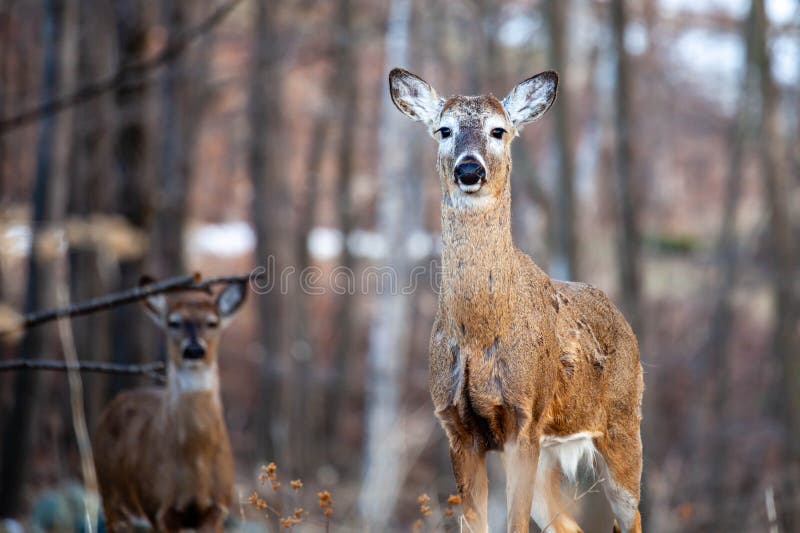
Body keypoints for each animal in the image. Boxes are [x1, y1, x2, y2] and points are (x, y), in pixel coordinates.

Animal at [92, 278, 247, 532]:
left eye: (212, 322)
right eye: (174, 322)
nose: (193, 350)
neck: (196, 461)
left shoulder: (218, 508)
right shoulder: (158, 507)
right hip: (112, 498)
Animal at [389, 68, 644, 533]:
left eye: (499, 130)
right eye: (443, 129)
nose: (469, 169)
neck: (481, 331)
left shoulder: (524, 421)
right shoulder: (457, 427)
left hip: (622, 425)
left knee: (631, 516)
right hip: (551, 453)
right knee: (569, 525)